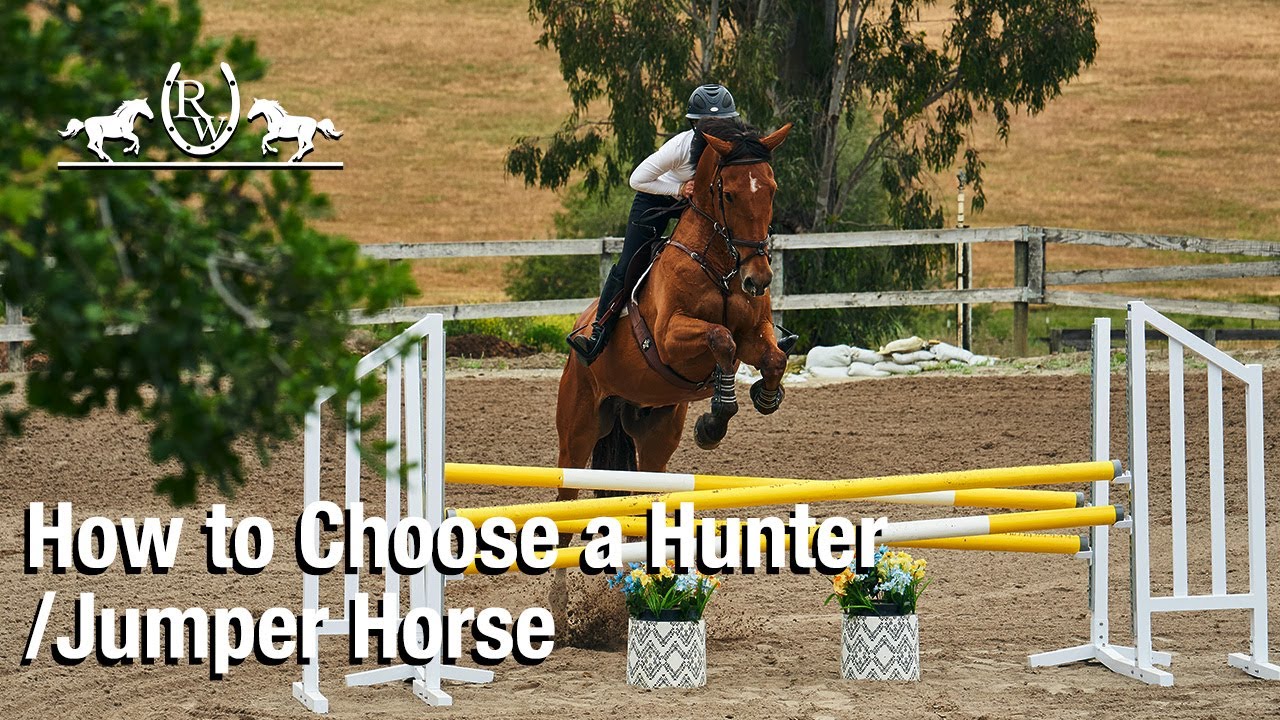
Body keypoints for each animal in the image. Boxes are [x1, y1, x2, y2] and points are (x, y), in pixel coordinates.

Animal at [555, 121, 793, 495]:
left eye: (771, 190)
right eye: (729, 195)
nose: (758, 280)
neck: (721, 269)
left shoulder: (754, 333)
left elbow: (773, 357)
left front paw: (765, 397)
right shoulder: (669, 338)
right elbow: (720, 336)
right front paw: (714, 419)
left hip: (655, 430)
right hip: (577, 432)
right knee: (568, 484)